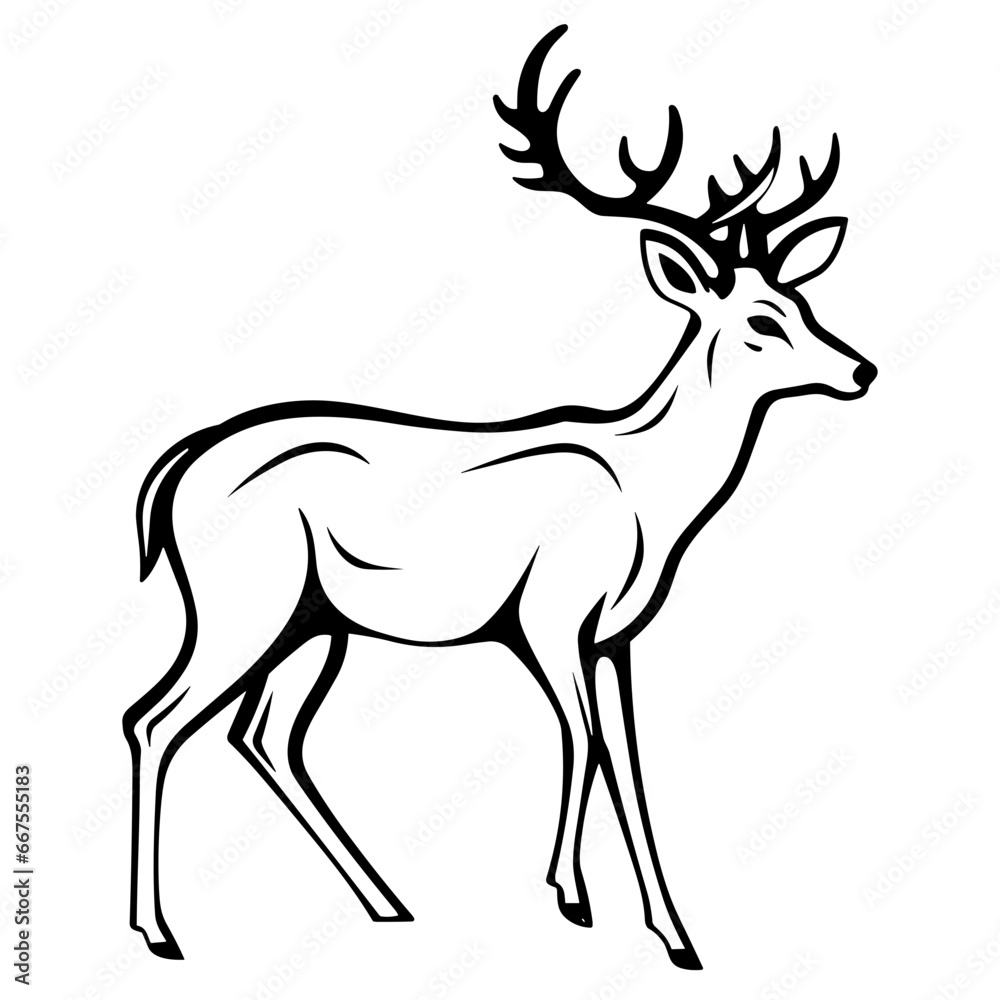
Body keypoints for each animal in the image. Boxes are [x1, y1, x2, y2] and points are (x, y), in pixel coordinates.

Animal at [122, 24, 875, 971]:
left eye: (801, 300)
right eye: (761, 321)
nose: (861, 369)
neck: (649, 493)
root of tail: (178, 465)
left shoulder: (615, 636)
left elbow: (629, 760)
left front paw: (677, 935)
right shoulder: (550, 613)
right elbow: (585, 743)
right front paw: (572, 896)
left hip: (315, 620)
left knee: (264, 734)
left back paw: (387, 902)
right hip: (241, 601)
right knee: (155, 720)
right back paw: (160, 931)